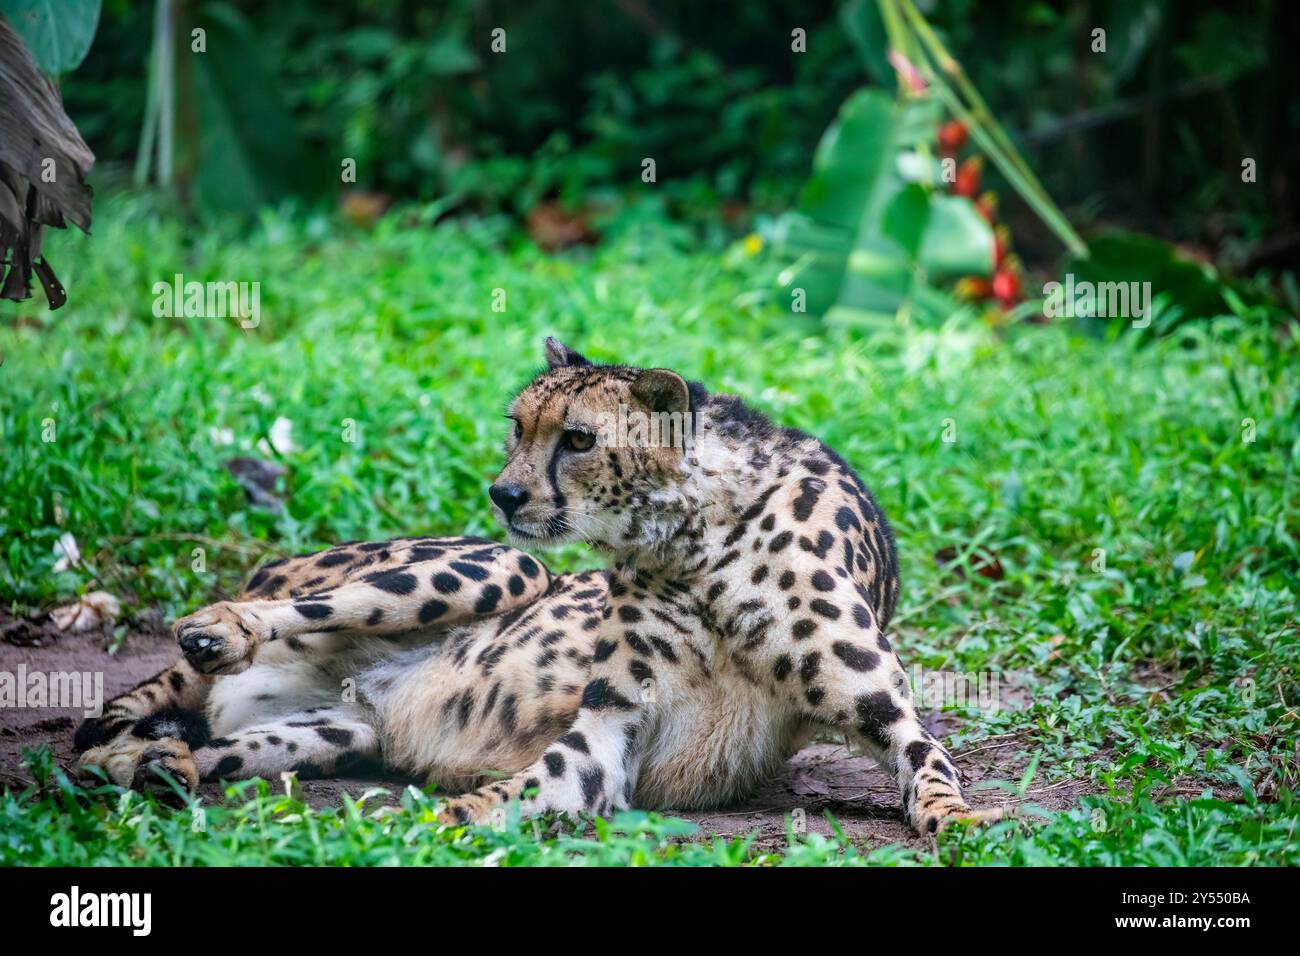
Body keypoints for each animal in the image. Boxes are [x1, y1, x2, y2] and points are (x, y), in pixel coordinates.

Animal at [74, 337, 1002, 835]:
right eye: (518, 427)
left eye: (580, 439)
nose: (504, 493)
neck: (697, 540)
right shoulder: (606, 730)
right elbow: (513, 787)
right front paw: (424, 824)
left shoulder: (884, 710)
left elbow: (931, 765)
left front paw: (959, 819)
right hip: (507, 565)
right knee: (258, 620)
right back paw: (215, 632)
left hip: (332, 728)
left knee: (195, 746)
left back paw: (144, 763)